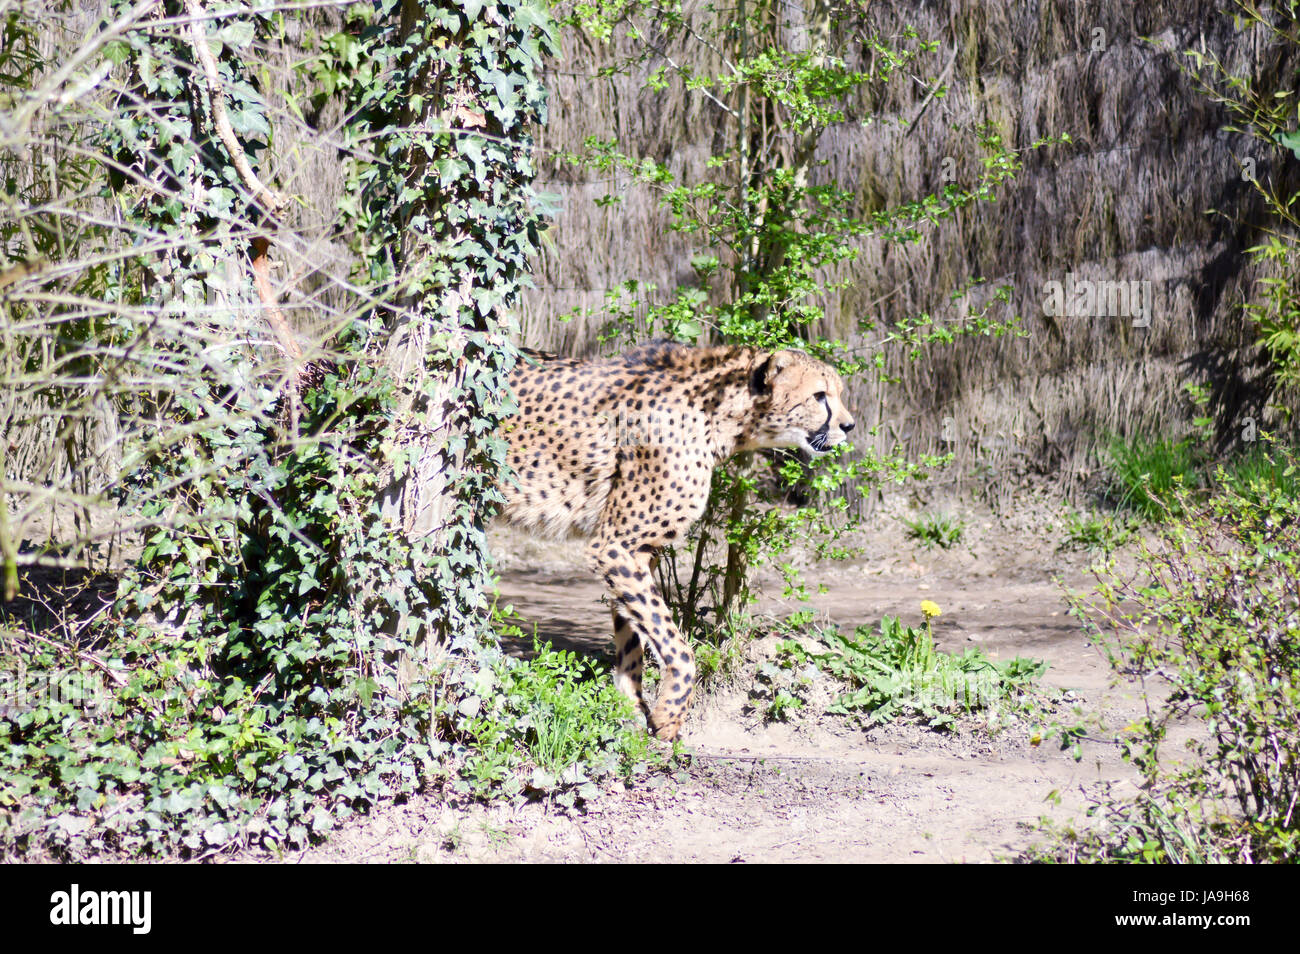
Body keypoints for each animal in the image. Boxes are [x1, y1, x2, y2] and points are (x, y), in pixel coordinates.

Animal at [498, 340, 855, 741]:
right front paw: (668, 717)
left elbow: (631, 638)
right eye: (820, 395)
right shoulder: (615, 545)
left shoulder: (637, 552)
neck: (722, 415)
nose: (849, 425)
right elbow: (679, 647)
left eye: (837, 393)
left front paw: (631, 715)